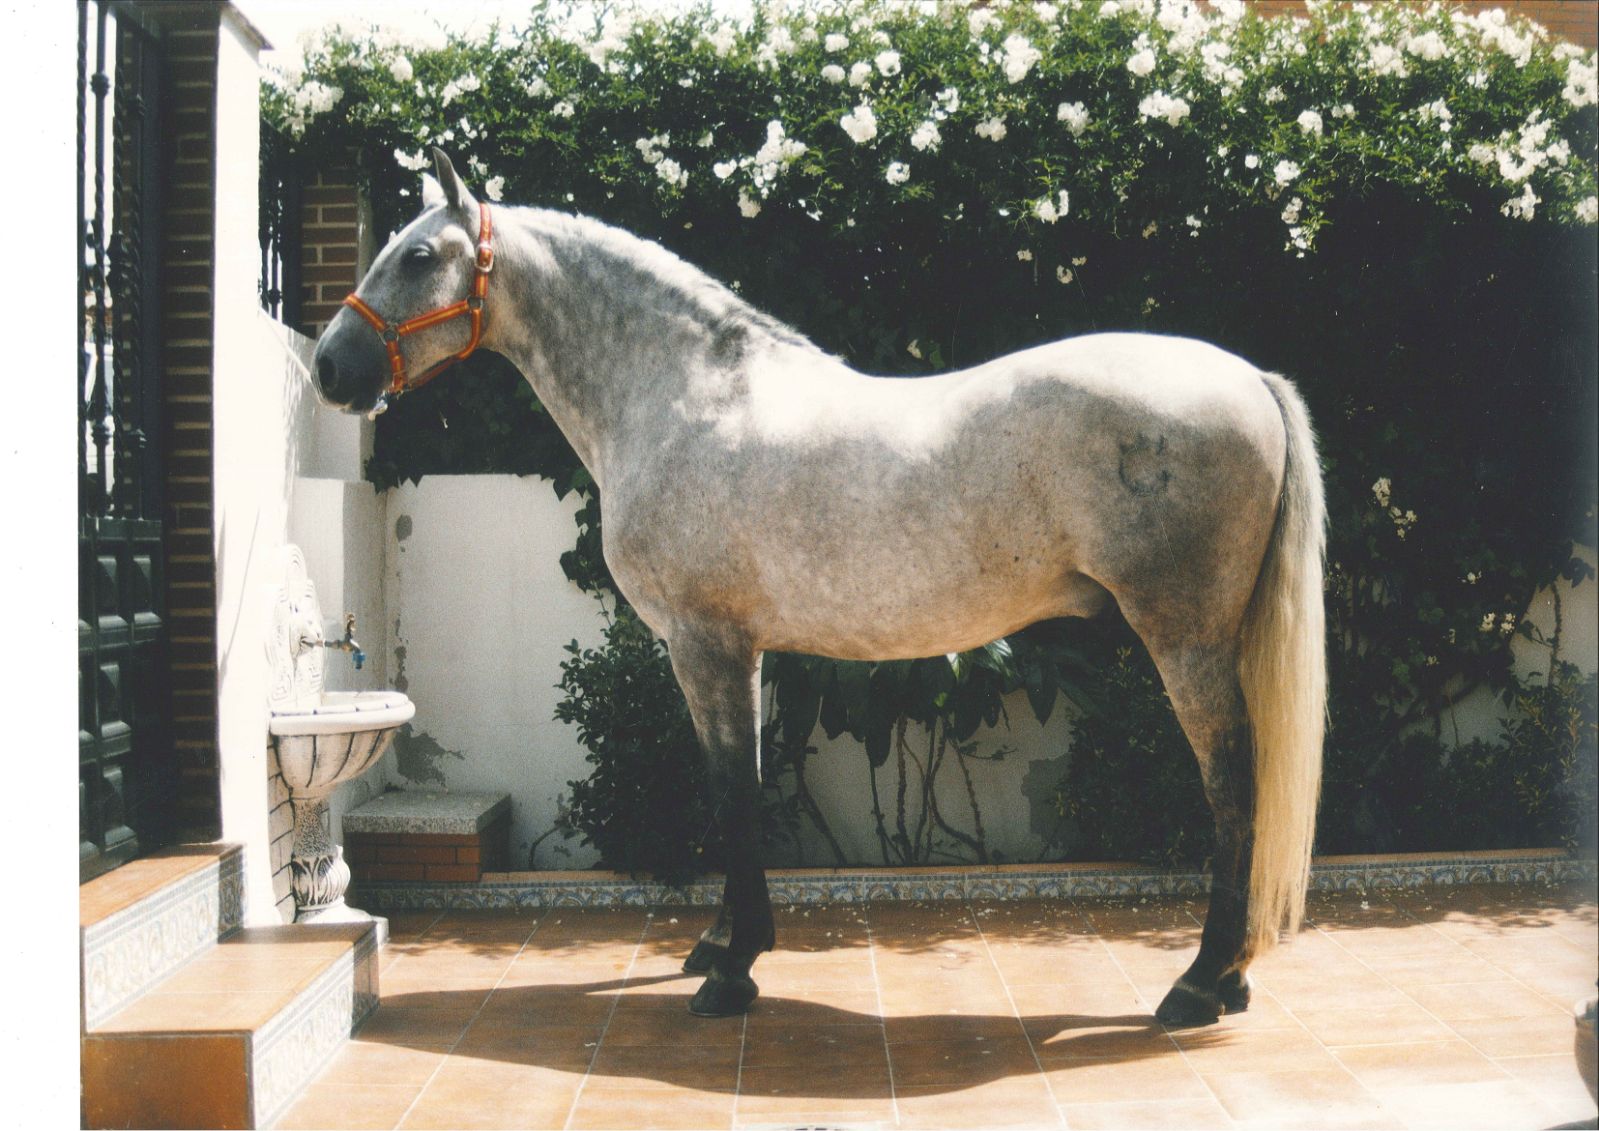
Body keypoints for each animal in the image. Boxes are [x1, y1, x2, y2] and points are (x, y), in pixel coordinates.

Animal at [312, 150, 1326, 1026]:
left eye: (418, 255)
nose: (329, 366)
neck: (685, 398)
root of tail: (1248, 377)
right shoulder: (742, 653)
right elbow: (742, 785)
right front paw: (719, 942)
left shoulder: (705, 645)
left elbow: (730, 791)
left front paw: (732, 970)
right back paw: (1225, 978)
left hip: (1182, 637)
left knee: (1233, 782)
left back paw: (1200, 983)